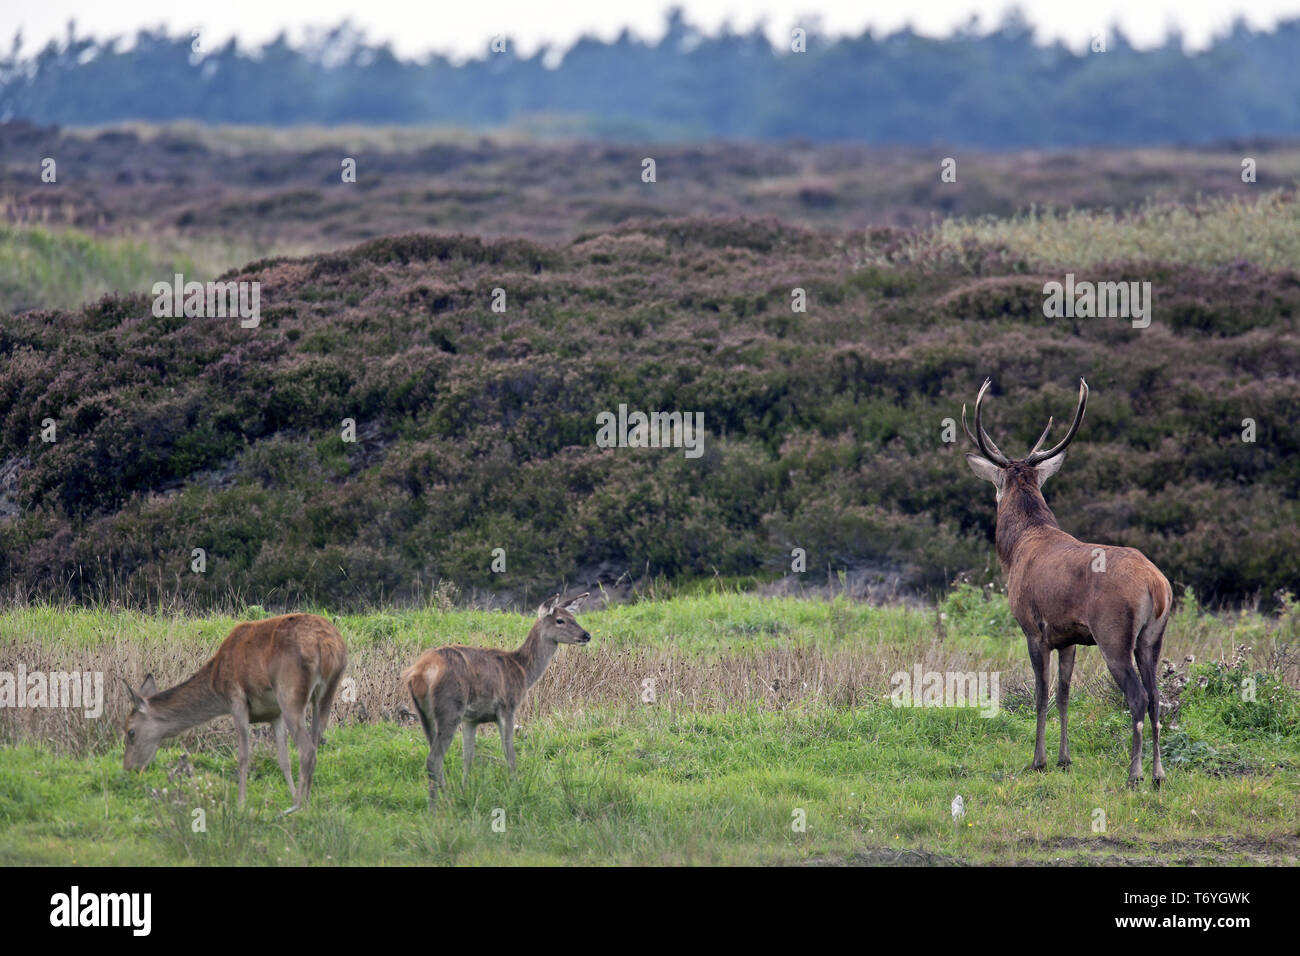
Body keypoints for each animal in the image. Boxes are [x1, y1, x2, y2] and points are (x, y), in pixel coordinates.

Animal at [121, 612, 348, 813]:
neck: (216, 683)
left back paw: (297, 808)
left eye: (130, 732)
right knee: (315, 744)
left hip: (289, 692)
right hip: (325, 693)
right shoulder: (274, 714)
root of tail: (328, 645)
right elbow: (283, 759)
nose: (128, 768)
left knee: (306, 750)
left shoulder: (236, 699)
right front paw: (291, 794)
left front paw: (240, 804)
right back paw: (306, 802)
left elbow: (243, 755)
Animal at [403, 592, 591, 807]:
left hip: (424, 712)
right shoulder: (507, 706)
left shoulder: (471, 719)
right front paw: (516, 789)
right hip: (449, 707)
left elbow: (468, 757)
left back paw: (449, 798)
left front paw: (465, 790)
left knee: (435, 757)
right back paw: (437, 806)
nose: (586, 635)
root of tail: (419, 672)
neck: (523, 671)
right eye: (560, 620)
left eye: (574, 617)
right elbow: (509, 754)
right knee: (433, 759)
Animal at [962, 378, 1173, 787]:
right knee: (1157, 697)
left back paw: (1134, 774)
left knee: (1138, 697)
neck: (1016, 550)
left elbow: (1040, 694)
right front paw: (1064, 759)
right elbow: (1063, 694)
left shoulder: (1034, 629)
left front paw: (1038, 760)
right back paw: (1158, 774)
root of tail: (1156, 586)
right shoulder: (1069, 638)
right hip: (1152, 637)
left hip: (1113, 634)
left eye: (997, 486)